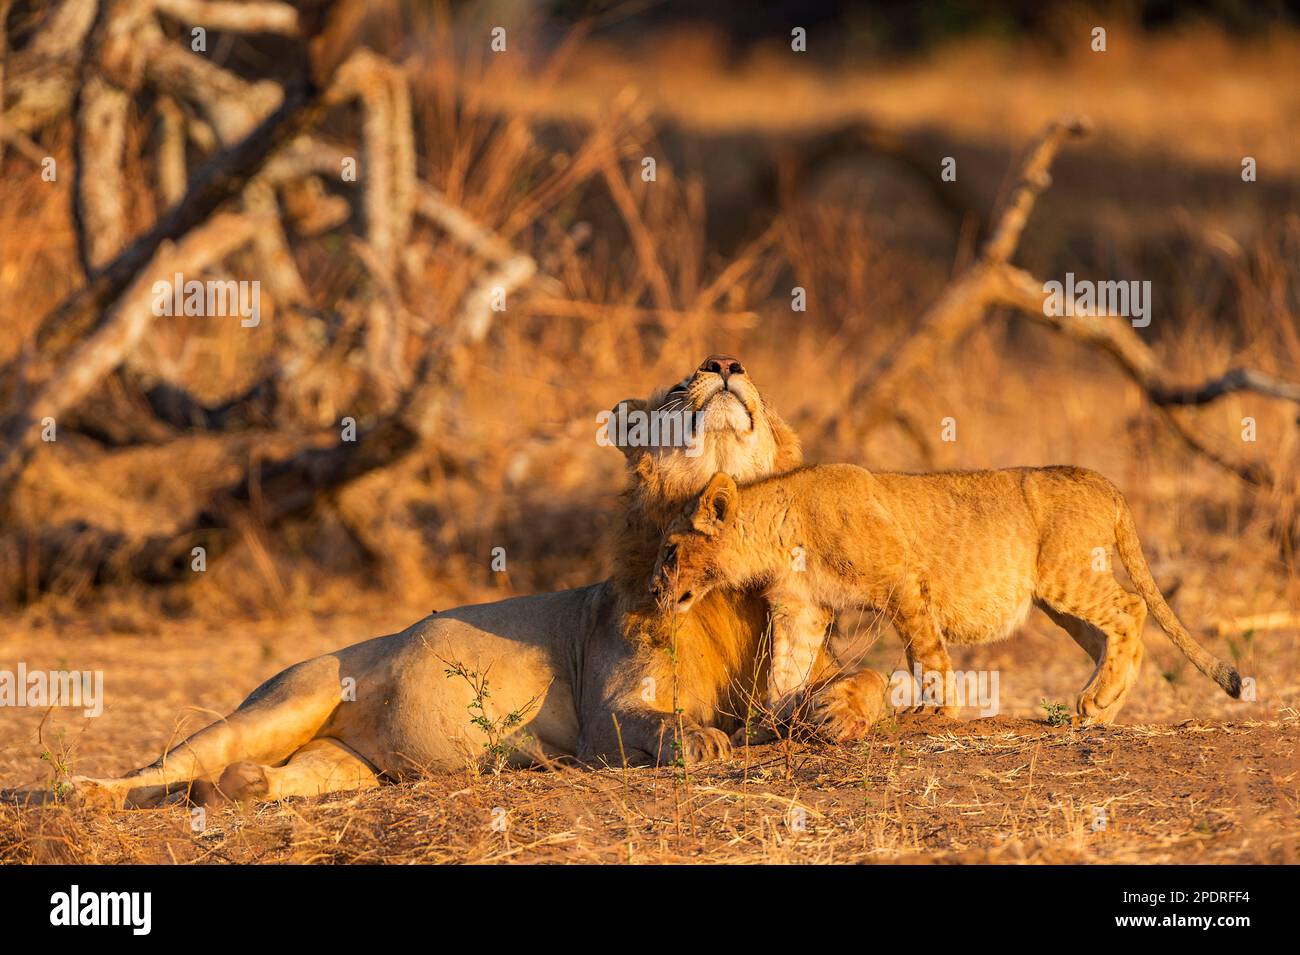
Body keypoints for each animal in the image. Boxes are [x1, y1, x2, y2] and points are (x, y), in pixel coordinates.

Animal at [26, 357, 884, 809]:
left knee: (274, 776)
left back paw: (240, 788)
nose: (725, 362)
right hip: (288, 697)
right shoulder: (606, 715)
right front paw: (701, 738)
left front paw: (836, 715)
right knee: (171, 761)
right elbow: (656, 719)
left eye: (748, 380)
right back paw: (89, 793)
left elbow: (868, 679)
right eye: (680, 387)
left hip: (346, 764)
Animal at [651, 464, 1242, 725]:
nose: (655, 590)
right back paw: (1101, 706)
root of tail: (1105, 481)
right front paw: (777, 718)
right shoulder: (803, 608)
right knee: (1108, 636)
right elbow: (785, 669)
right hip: (1056, 598)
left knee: (1133, 608)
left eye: (670, 551)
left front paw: (938, 713)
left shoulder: (902, 580)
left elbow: (926, 654)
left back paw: (1098, 703)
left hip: (1065, 575)